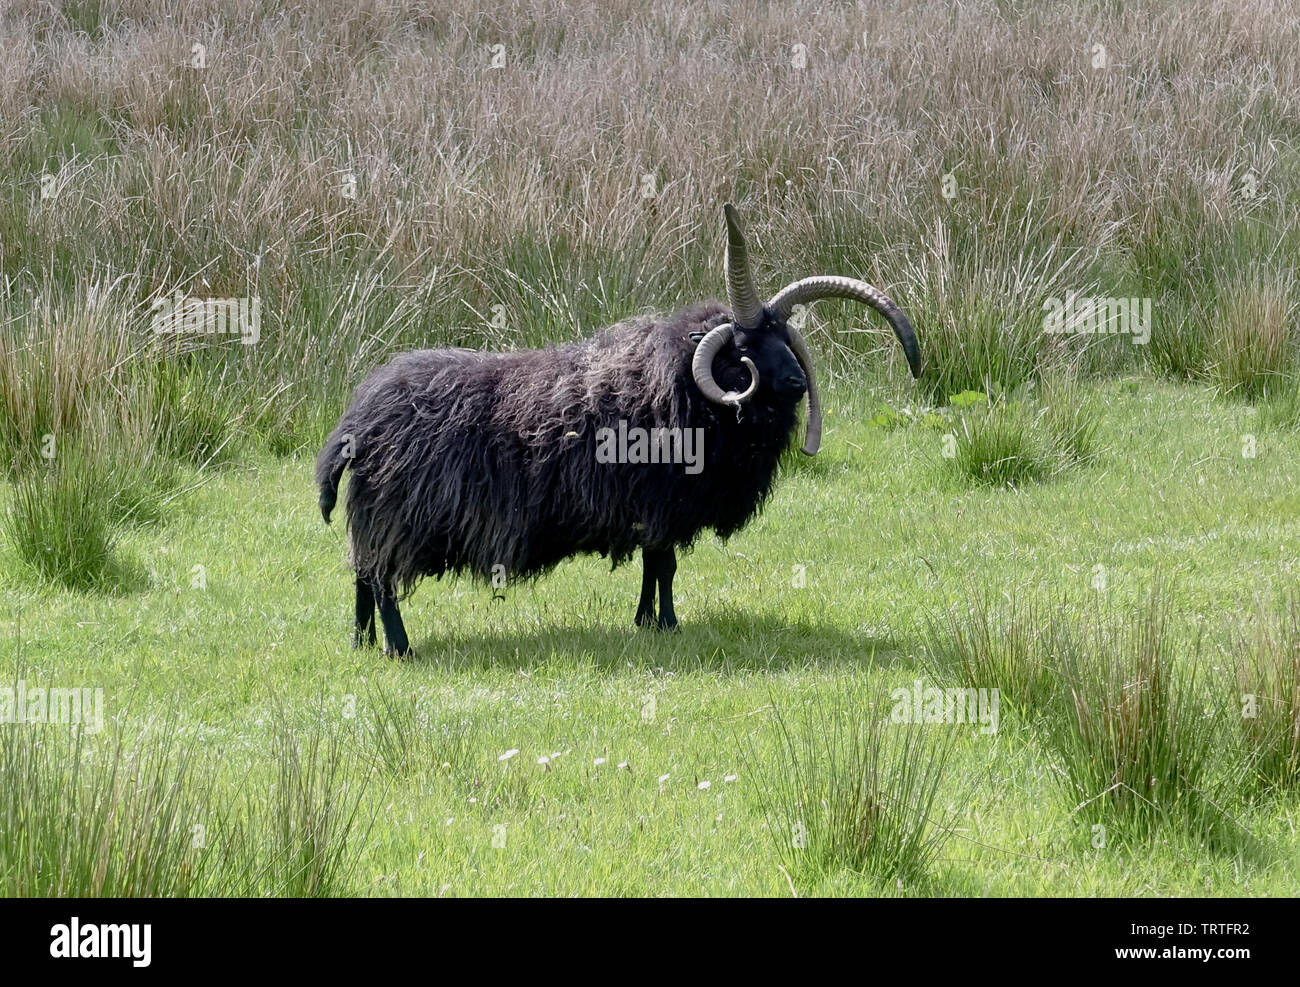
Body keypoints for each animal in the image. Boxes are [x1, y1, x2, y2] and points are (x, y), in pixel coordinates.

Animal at [315, 204, 921, 656]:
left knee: (362, 577)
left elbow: (655, 567)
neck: (684, 386)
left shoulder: (653, 512)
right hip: (396, 516)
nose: (796, 382)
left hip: (374, 515)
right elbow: (666, 565)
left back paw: (362, 643)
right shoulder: (660, 504)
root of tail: (355, 421)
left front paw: (647, 621)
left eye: (783, 338)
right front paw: (667, 624)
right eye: (744, 348)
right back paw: (399, 646)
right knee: (382, 581)